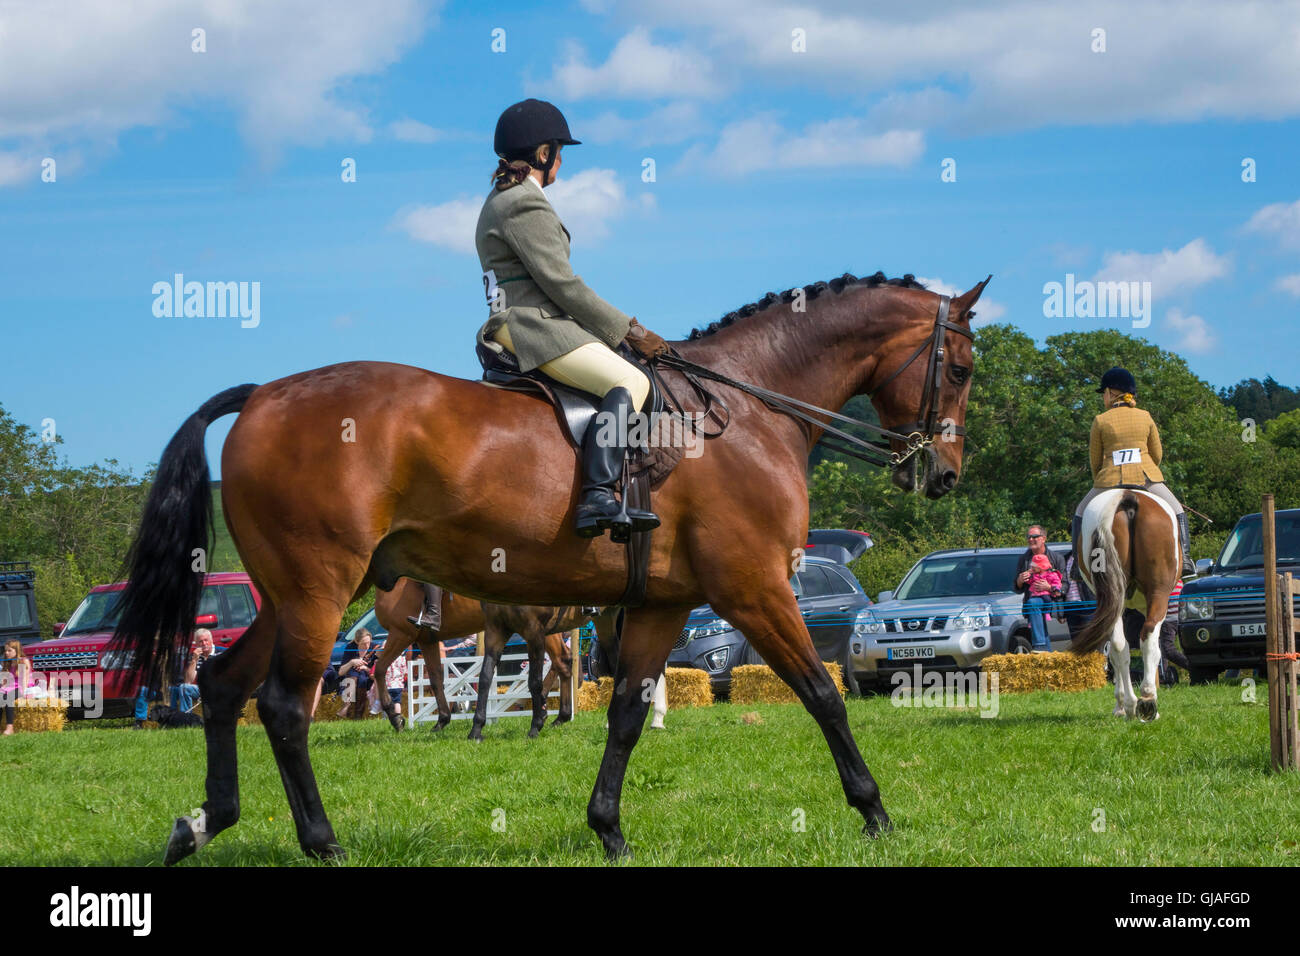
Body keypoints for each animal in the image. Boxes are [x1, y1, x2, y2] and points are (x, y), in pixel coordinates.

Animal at [112, 270, 988, 864]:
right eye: (962, 368)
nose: (944, 474)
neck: (744, 408)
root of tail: (263, 395)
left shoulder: (666, 602)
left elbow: (627, 712)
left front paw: (609, 831)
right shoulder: (754, 588)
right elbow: (822, 695)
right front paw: (875, 814)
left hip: (302, 593)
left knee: (222, 685)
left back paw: (200, 825)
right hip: (320, 591)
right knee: (285, 707)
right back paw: (323, 843)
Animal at [1069, 488, 1181, 721]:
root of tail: (1127, 495)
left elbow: (1115, 651)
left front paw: (1120, 704)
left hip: (1113, 600)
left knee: (1120, 645)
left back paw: (1130, 704)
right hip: (1159, 594)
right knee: (1148, 637)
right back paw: (1146, 700)